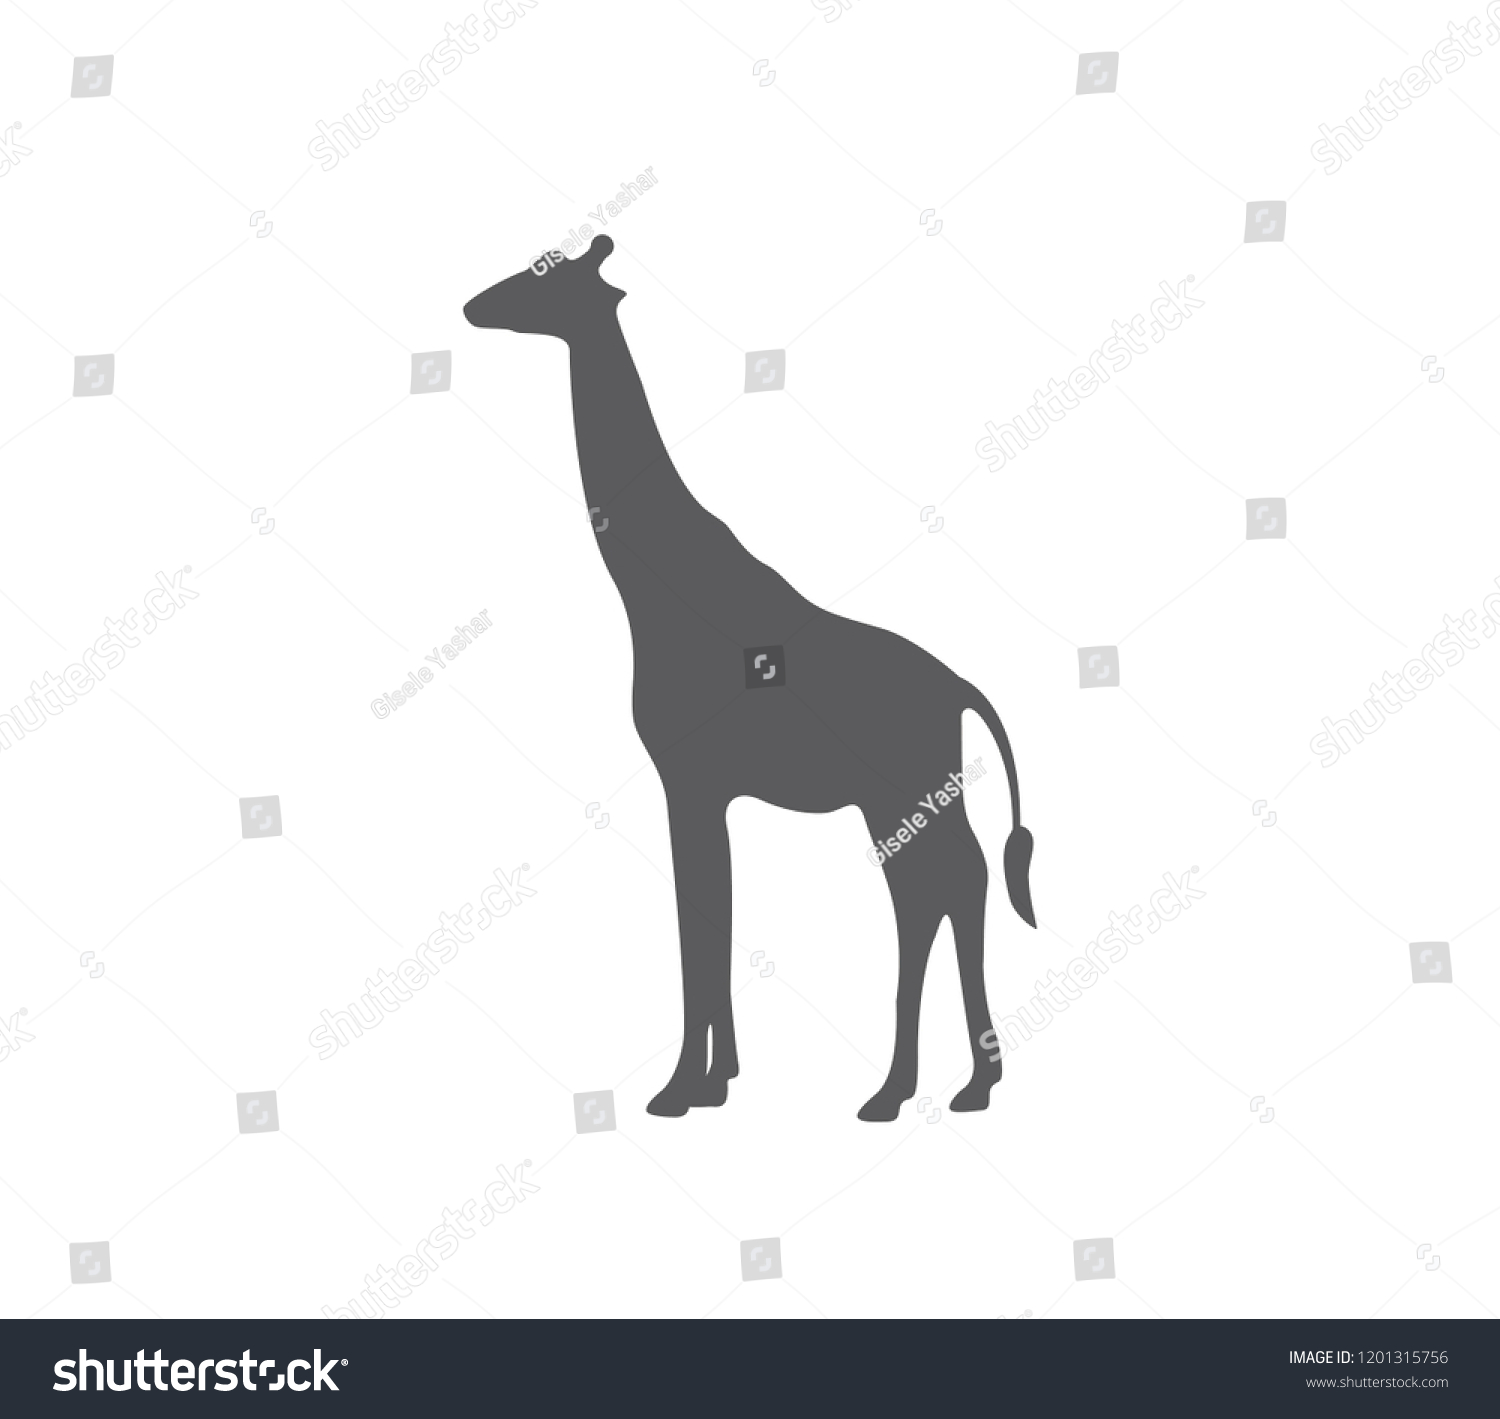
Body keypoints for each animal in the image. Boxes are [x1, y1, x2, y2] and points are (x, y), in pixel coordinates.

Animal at [464, 234, 1036, 1121]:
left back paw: (912, 1088)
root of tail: (963, 691)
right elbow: (715, 913)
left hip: (897, 792)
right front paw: (718, 1080)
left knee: (931, 892)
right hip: (920, 793)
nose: (470, 306)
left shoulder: (686, 776)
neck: (660, 588)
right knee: (953, 884)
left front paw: (677, 1090)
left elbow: (699, 918)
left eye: (541, 275)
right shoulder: (708, 787)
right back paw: (956, 1082)